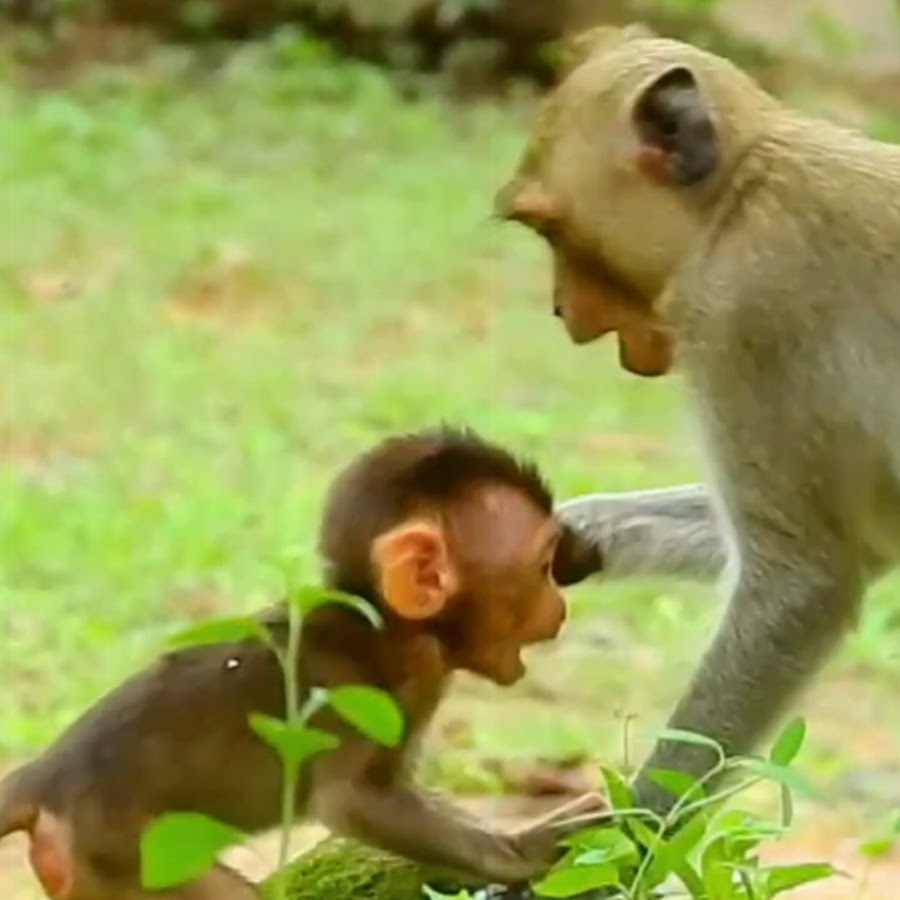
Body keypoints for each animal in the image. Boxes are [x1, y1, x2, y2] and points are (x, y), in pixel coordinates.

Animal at [0, 426, 606, 899]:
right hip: (122, 857)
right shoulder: (356, 695)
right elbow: (355, 803)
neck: (385, 628)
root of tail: (48, 776)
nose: (561, 604)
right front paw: (525, 850)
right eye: (545, 565)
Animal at [496, 21, 900, 826]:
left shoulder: (752, 314)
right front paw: (566, 534)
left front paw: (636, 832)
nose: (561, 309)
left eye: (554, 234)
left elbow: (803, 583)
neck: (739, 198)